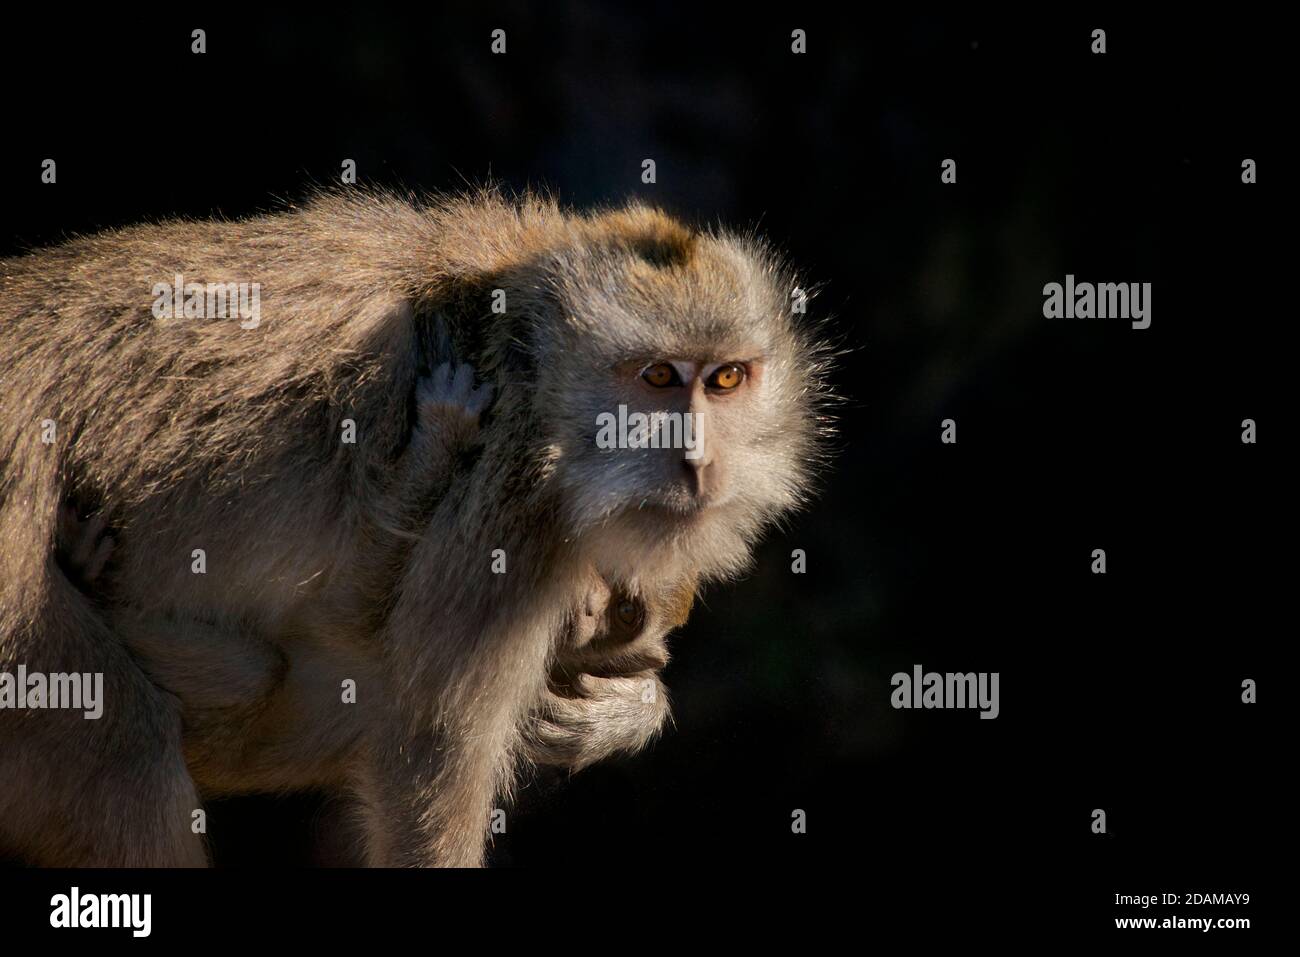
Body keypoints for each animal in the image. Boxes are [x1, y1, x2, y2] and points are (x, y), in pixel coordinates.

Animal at [0, 188, 833, 866]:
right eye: (658, 377)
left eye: (727, 378)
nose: (698, 462)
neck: (537, 366)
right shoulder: (509, 501)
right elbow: (430, 748)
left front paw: (622, 707)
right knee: (125, 752)